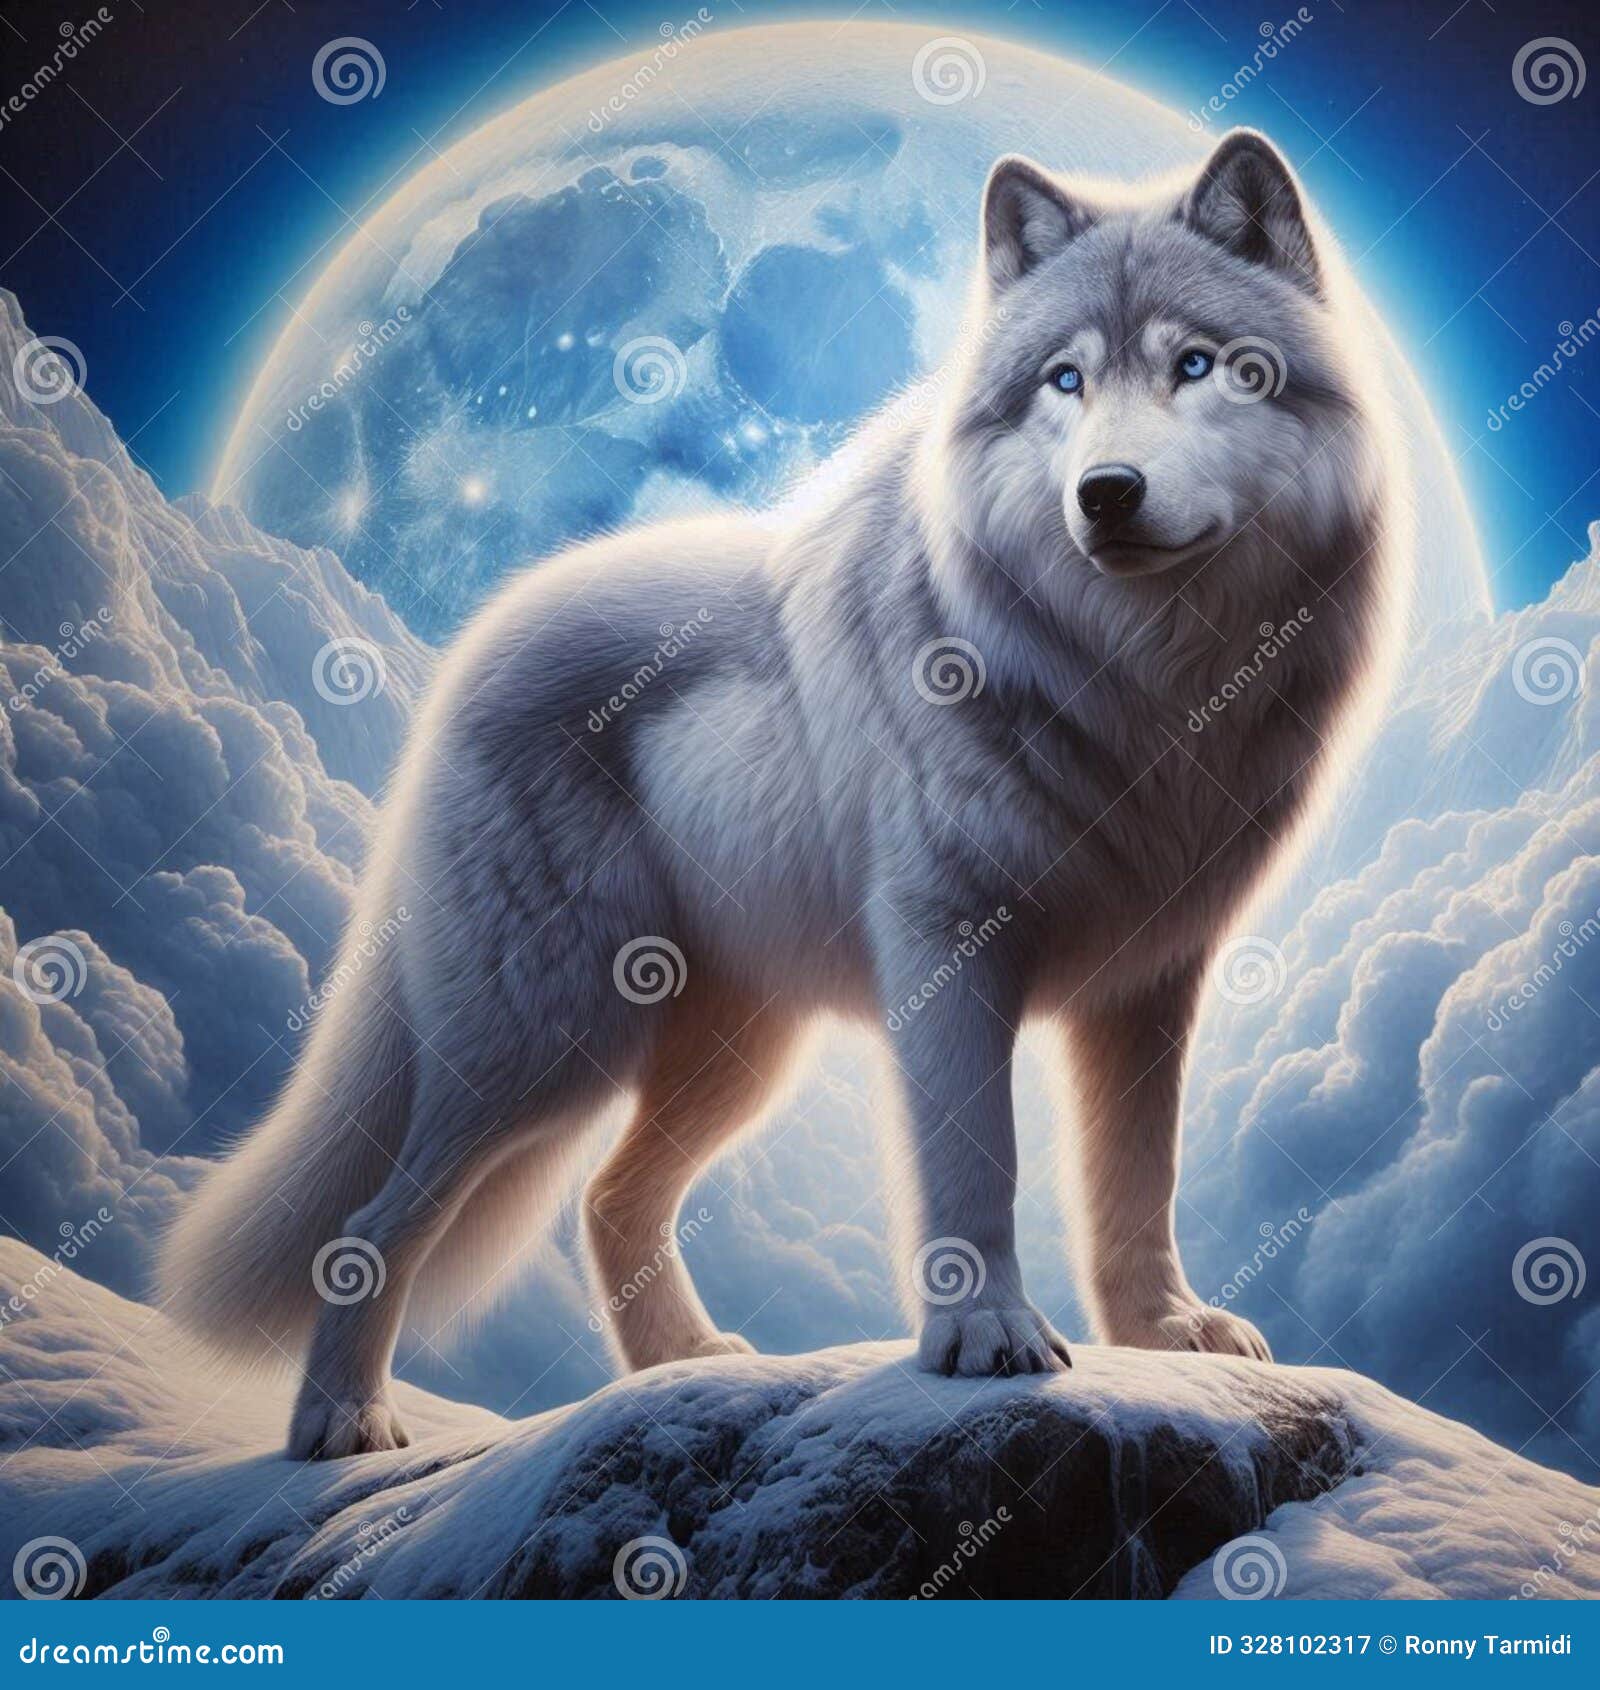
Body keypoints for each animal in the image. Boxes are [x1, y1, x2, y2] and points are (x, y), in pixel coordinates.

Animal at [161, 130, 1399, 1458]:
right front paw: (987, 1341)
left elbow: (1136, 1180)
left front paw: (1161, 1334)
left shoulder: (1151, 980)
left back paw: (678, 1368)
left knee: (607, 1195)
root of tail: (472, 648)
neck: (1140, 681)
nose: (1105, 492)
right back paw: (340, 1421)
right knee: (374, 1224)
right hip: (542, 1046)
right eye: (1063, 381)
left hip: (724, 1051)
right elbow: (978, 1166)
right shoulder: (947, 951)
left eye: (1196, 366)